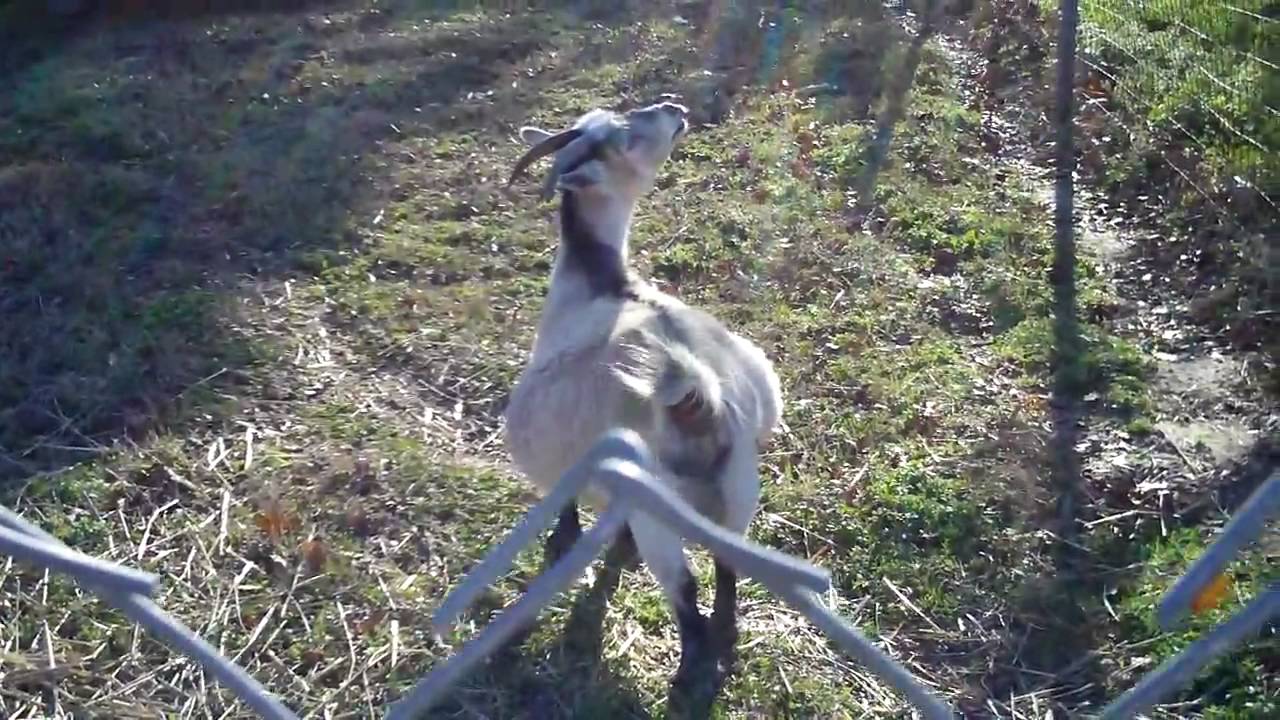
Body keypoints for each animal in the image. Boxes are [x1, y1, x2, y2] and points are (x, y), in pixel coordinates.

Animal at [502, 99, 783, 684]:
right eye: (624, 138)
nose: (675, 109)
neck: (600, 283)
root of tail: (701, 402)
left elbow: (565, 505)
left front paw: (565, 536)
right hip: (742, 484)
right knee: (728, 566)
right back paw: (724, 639)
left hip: (658, 509)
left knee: (684, 588)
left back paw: (689, 671)